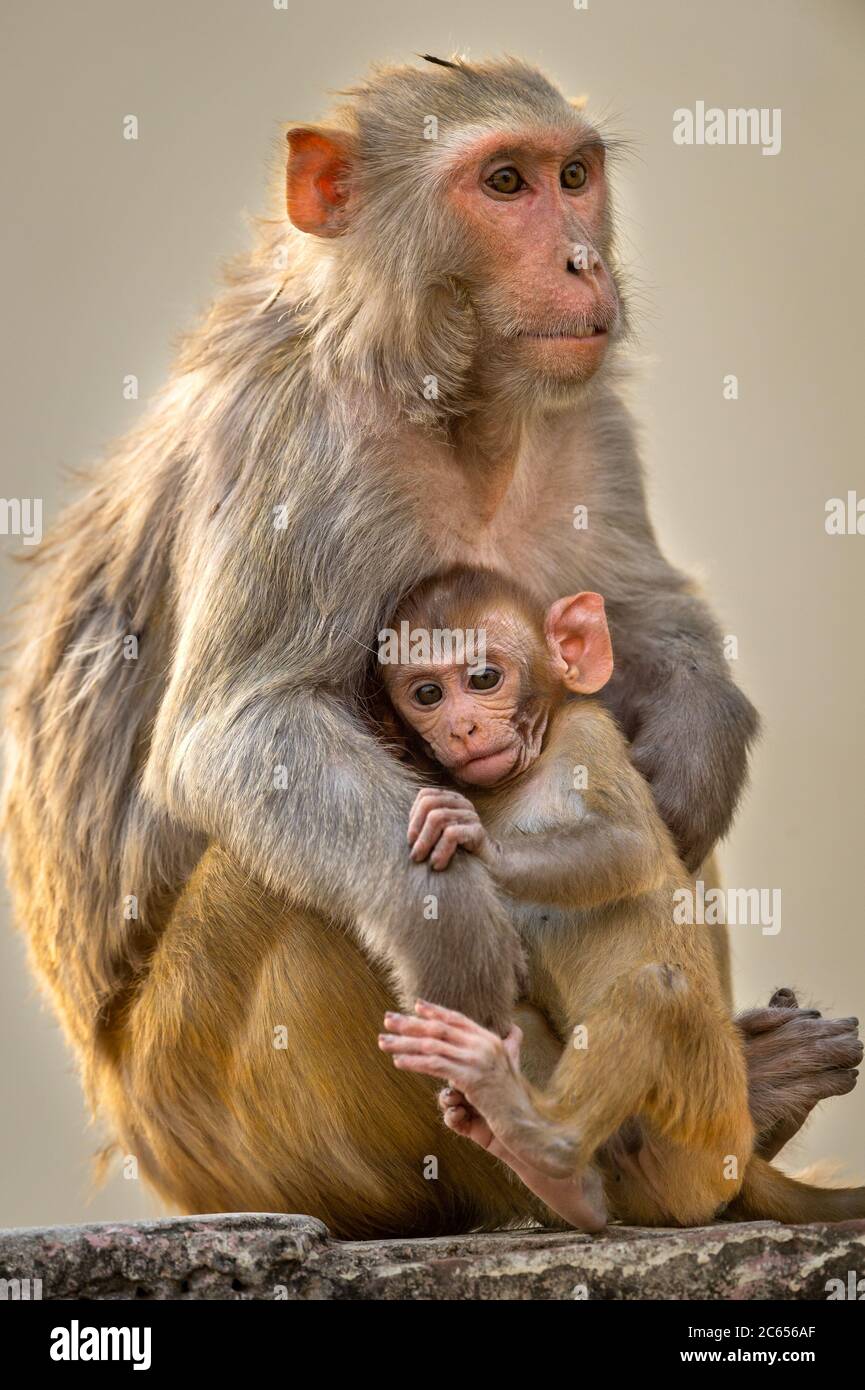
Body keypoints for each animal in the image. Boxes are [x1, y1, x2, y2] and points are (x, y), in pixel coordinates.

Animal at [375, 565, 865, 1227]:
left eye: (483, 678)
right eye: (427, 694)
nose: (462, 728)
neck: (516, 782)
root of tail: (741, 1160)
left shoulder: (588, 736)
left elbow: (628, 849)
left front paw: (479, 842)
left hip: (702, 1133)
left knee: (654, 990)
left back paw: (543, 1141)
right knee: (522, 1016)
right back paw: (564, 1185)